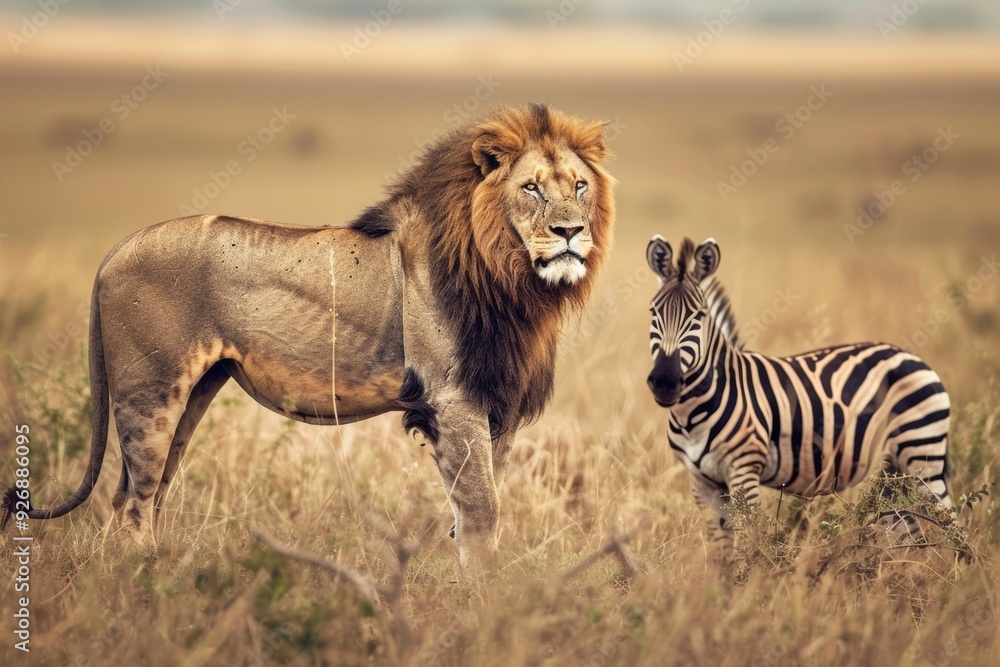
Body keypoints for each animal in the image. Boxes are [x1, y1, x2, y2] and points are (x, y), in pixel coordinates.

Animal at [2, 103, 616, 564]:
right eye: (532, 188)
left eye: (580, 186)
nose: (569, 231)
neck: (513, 278)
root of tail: (114, 252)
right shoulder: (454, 398)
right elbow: (484, 510)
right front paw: (481, 602)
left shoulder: (496, 404)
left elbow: (476, 508)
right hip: (150, 394)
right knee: (133, 502)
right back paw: (146, 584)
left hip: (193, 395)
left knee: (137, 496)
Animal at [644, 235, 952, 545]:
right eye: (653, 312)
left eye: (698, 316)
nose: (665, 382)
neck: (692, 413)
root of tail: (912, 357)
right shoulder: (701, 481)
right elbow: (722, 549)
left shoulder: (745, 470)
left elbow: (747, 542)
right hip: (893, 471)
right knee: (910, 533)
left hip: (922, 454)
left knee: (950, 526)